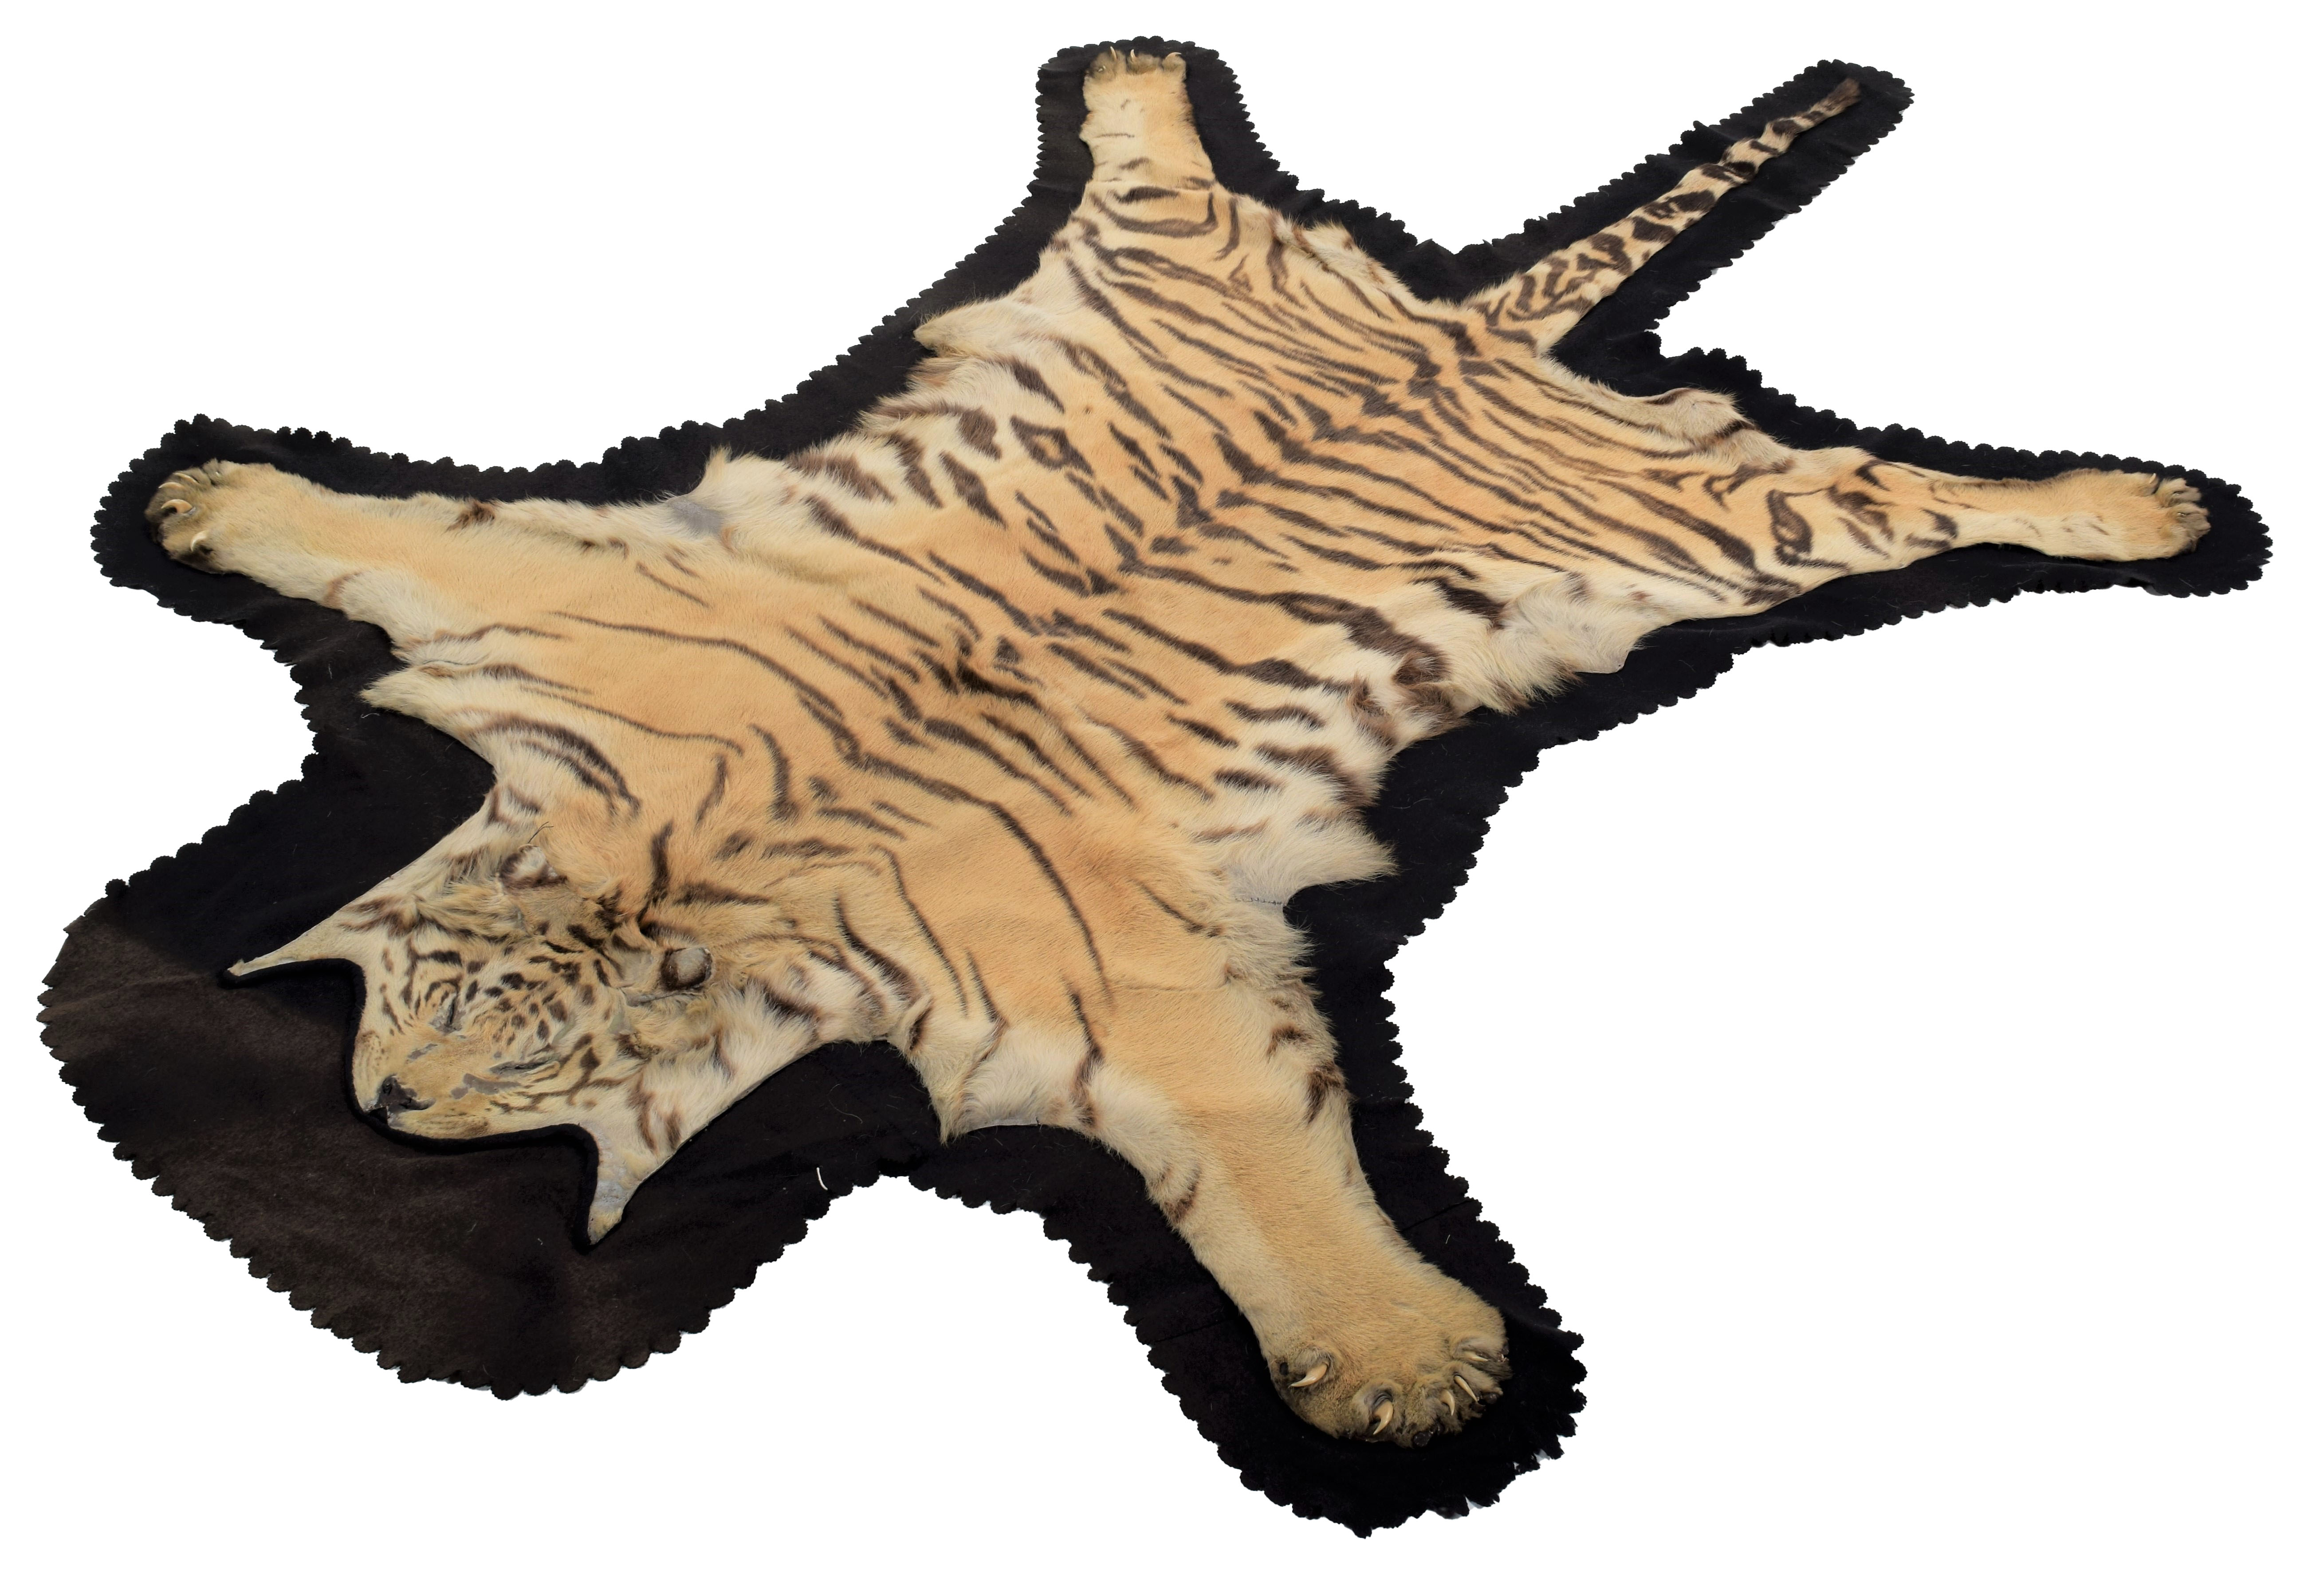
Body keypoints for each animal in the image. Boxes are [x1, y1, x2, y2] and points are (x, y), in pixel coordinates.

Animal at [141, 48, 2208, 1447]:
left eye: (544, 1059)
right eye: (421, 1001)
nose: (381, 1108)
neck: (696, 857)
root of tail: (1470, 321)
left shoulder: (1152, 986)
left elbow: (1270, 1153)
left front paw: (1410, 1366)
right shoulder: (557, 597)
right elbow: (407, 532)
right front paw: (216, 498)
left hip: (1733, 522)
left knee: (1898, 488)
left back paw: (2149, 506)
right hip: (1184, 253)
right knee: (1155, 155)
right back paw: (1137, 73)